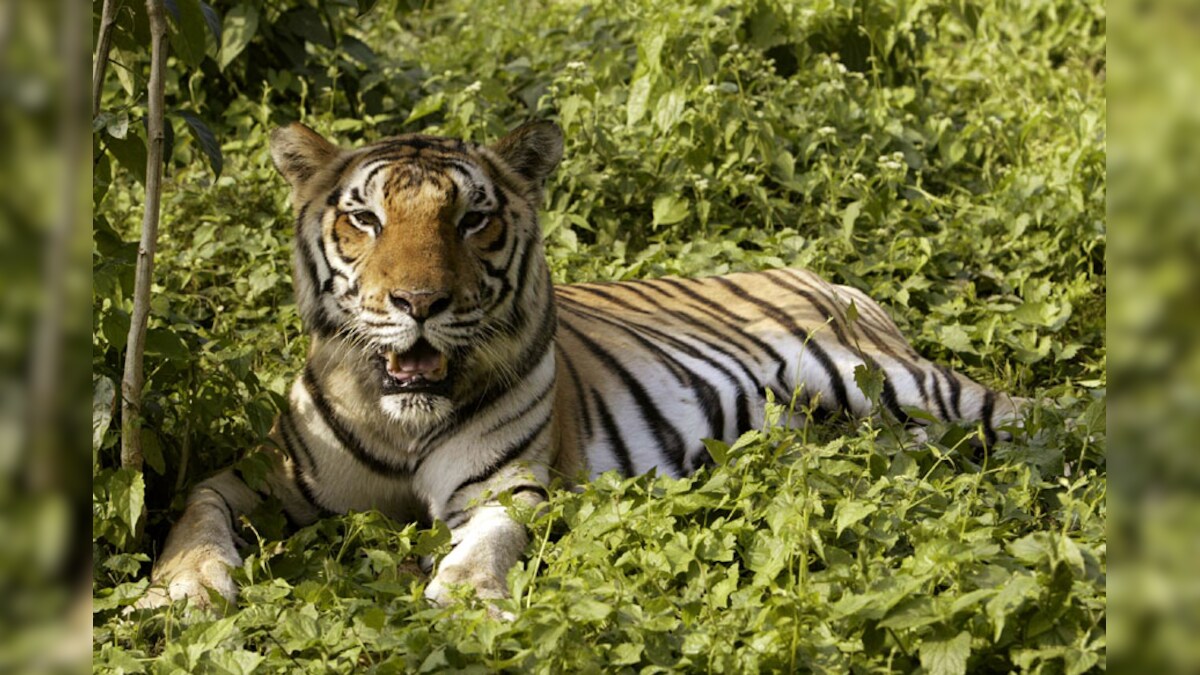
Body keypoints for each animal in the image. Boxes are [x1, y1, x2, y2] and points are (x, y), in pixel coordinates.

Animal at [136, 120, 1023, 611]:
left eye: (474, 219)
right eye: (364, 219)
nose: (417, 301)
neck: (400, 423)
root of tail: (816, 273)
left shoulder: (506, 485)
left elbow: (489, 541)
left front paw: (467, 598)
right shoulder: (261, 473)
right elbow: (193, 514)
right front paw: (181, 589)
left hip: (898, 380)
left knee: (1020, 414)